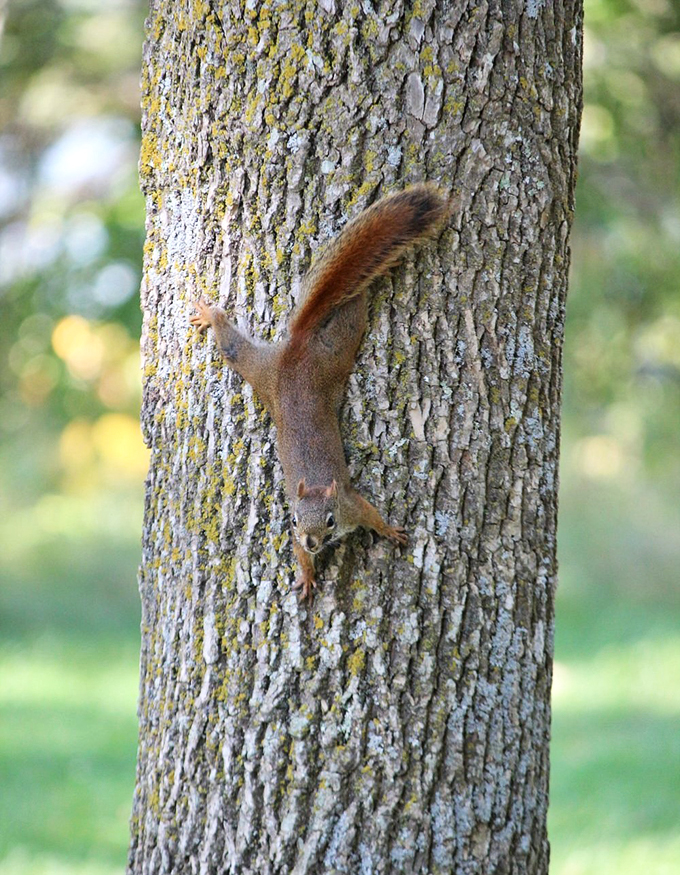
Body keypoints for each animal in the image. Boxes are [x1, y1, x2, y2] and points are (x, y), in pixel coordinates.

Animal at [190, 184, 449, 600]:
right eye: (294, 521)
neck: (315, 493)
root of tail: (296, 350)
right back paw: (212, 316)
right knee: (232, 345)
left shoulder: (353, 505)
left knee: (348, 316)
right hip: (262, 371)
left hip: (330, 354)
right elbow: (299, 558)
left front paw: (389, 531)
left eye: (329, 521)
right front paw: (308, 575)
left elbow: (373, 516)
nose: (311, 542)